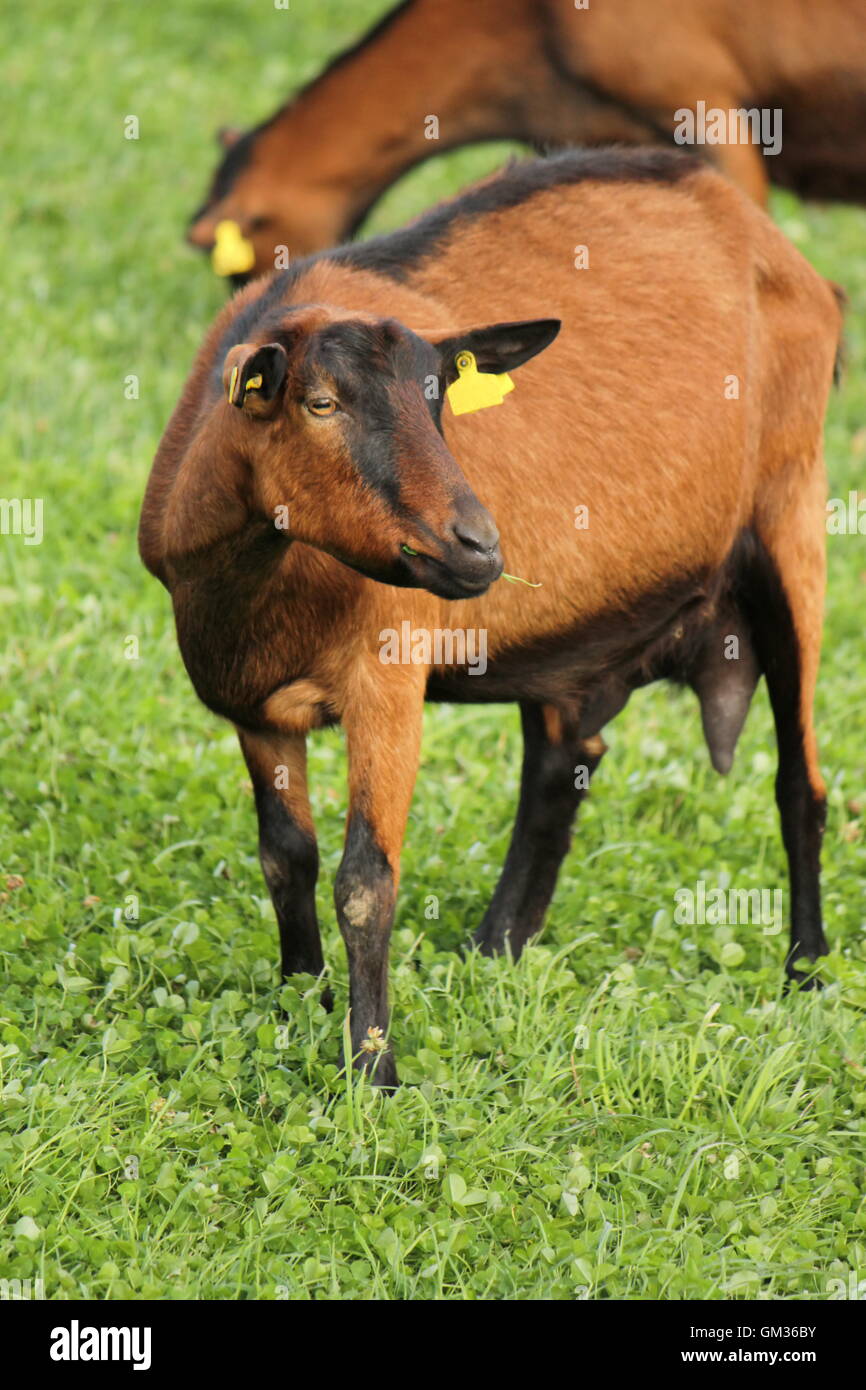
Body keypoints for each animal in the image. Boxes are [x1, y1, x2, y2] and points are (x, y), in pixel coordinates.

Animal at [144, 148, 841, 1087]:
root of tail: (761, 232)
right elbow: (286, 858)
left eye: (440, 399)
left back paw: (806, 971)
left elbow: (366, 880)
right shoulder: (254, 708)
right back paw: (495, 947)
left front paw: (372, 1073)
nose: (477, 545)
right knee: (560, 762)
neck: (264, 591)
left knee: (800, 782)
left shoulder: (387, 675)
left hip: (793, 514)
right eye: (321, 403)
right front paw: (301, 998)